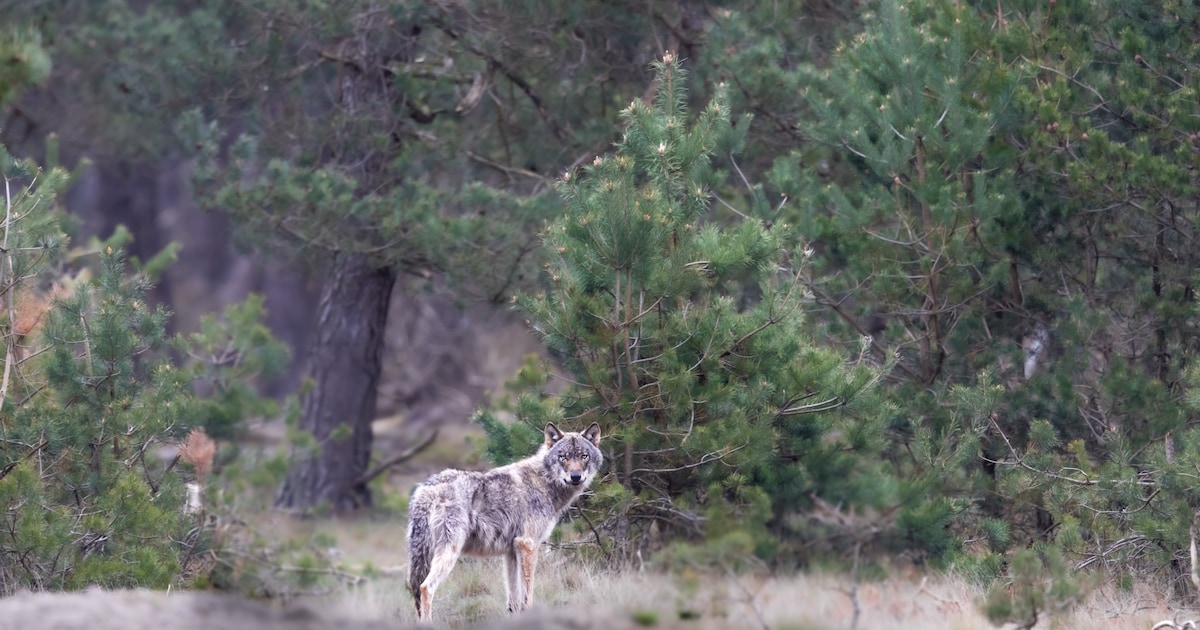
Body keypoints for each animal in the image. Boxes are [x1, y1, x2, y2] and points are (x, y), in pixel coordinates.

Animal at [405, 422, 602, 622]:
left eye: (583, 456)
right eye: (563, 457)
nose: (576, 476)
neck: (544, 481)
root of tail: (427, 489)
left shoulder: (511, 552)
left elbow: (513, 600)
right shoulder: (528, 545)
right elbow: (528, 594)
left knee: (415, 589)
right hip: (450, 552)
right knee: (425, 587)